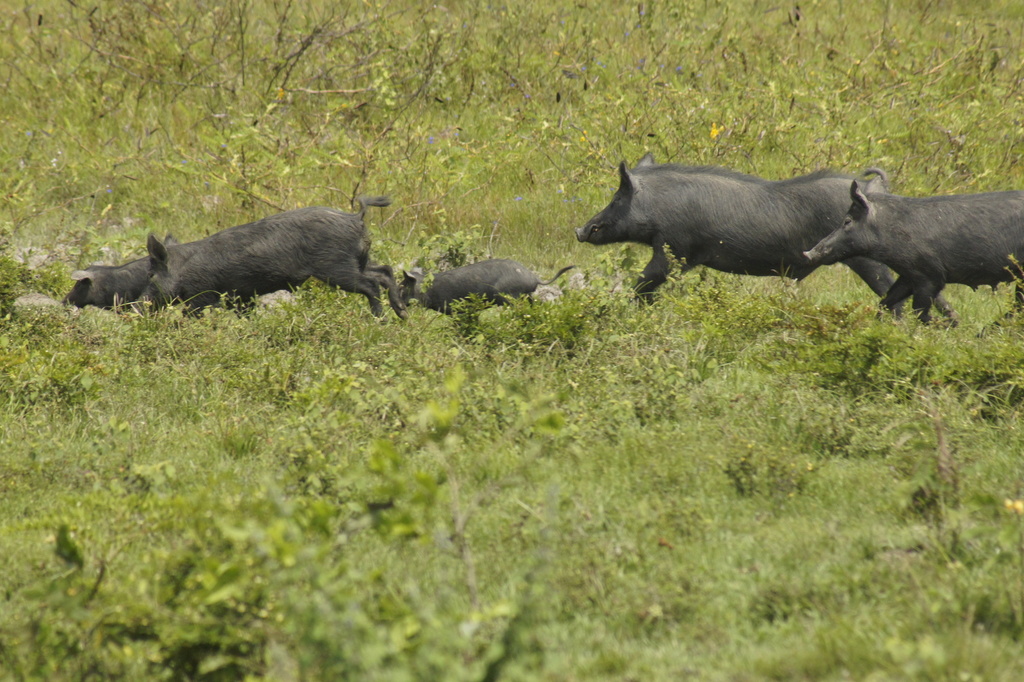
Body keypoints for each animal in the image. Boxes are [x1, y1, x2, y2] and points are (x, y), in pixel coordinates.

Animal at [143, 197, 408, 319]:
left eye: (151, 275)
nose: (140, 306)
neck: (182, 269)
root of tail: (355, 218)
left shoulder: (202, 295)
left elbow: (190, 314)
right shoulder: (242, 297)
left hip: (337, 268)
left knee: (371, 284)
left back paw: (380, 318)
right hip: (359, 260)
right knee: (384, 271)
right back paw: (402, 313)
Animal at [574, 154, 943, 315]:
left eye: (617, 197)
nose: (580, 229)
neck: (657, 206)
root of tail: (874, 188)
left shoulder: (675, 250)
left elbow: (645, 280)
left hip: (866, 260)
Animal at [803, 180, 1024, 323]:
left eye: (847, 221)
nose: (808, 254)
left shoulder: (930, 275)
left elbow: (919, 312)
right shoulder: (909, 274)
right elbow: (887, 300)